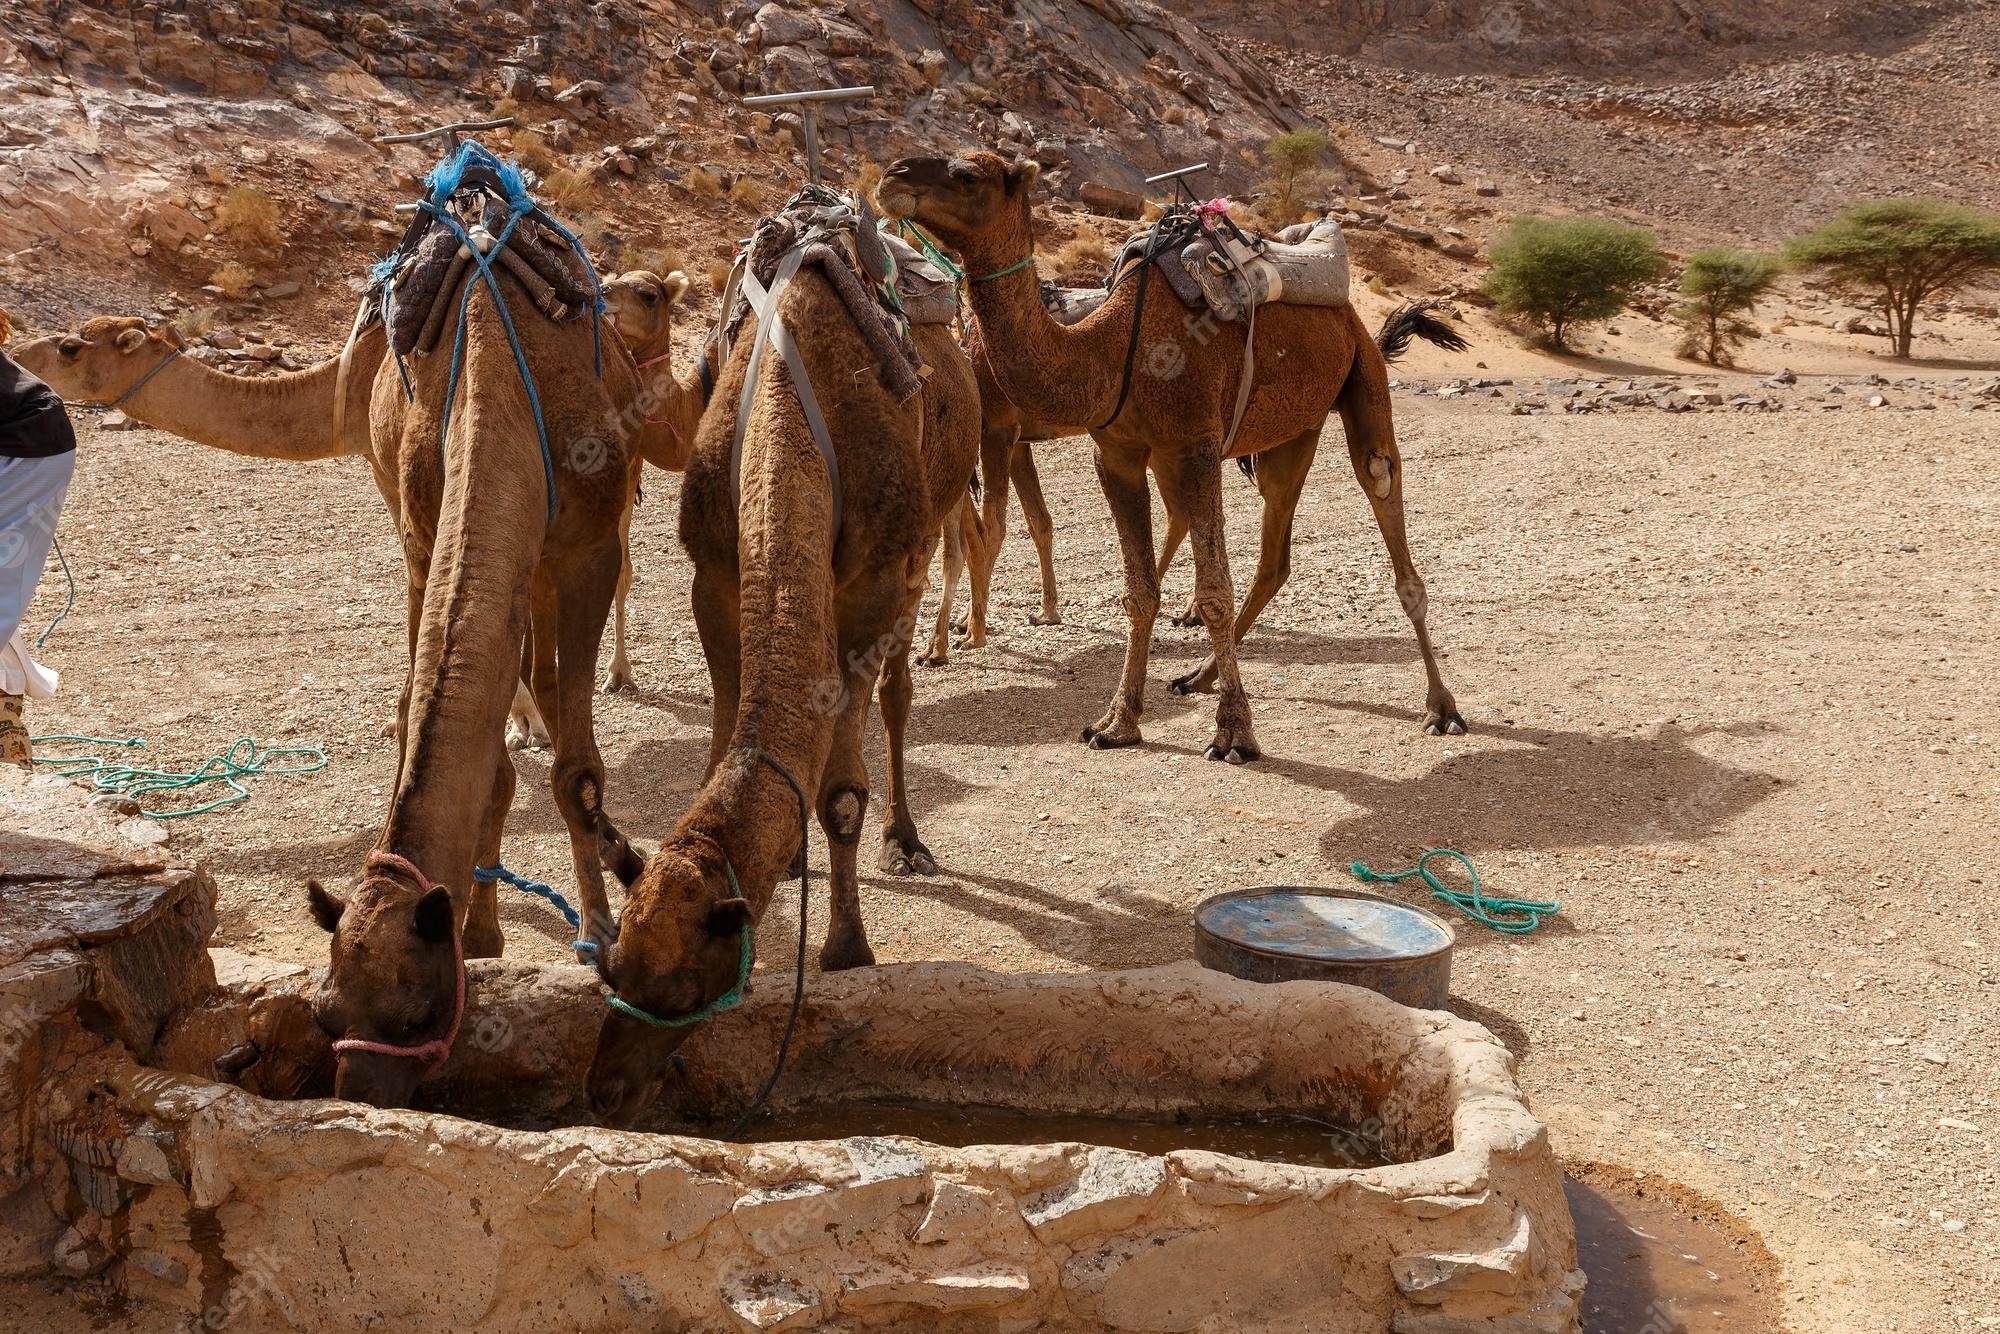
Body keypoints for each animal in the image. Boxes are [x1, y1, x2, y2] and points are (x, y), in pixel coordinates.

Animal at [584, 209, 981, 1127]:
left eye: (686, 985)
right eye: (610, 966)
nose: (603, 1089)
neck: (789, 435)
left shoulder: (872, 586)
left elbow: (842, 792)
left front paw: (847, 945)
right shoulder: (717, 573)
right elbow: (726, 735)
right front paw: (790, 857)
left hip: (925, 541)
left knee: (900, 695)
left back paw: (907, 840)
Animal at [881, 152, 1465, 761]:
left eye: (969, 176)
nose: (893, 175)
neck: (1112, 348)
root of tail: (1352, 311)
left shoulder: (1193, 445)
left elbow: (1213, 592)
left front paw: (1234, 733)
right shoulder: (1117, 453)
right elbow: (1138, 592)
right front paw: (1117, 722)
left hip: (1361, 378)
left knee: (1382, 492)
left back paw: (1441, 707)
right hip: (1291, 433)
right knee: (1272, 556)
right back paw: (1197, 676)